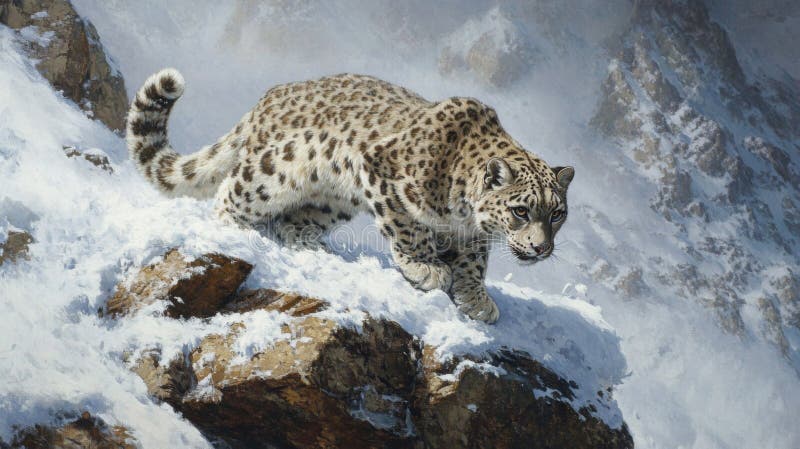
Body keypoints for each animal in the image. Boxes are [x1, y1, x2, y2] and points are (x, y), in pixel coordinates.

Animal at [126, 68, 574, 323]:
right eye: (521, 211)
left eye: (557, 214)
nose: (540, 249)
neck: (460, 210)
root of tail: (265, 99)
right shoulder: (381, 170)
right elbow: (409, 229)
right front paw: (425, 267)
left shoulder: (469, 232)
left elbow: (474, 261)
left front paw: (475, 298)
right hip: (275, 170)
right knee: (231, 193)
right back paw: (234, 231)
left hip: (333, 200)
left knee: (292, 221)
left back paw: (316, 249)